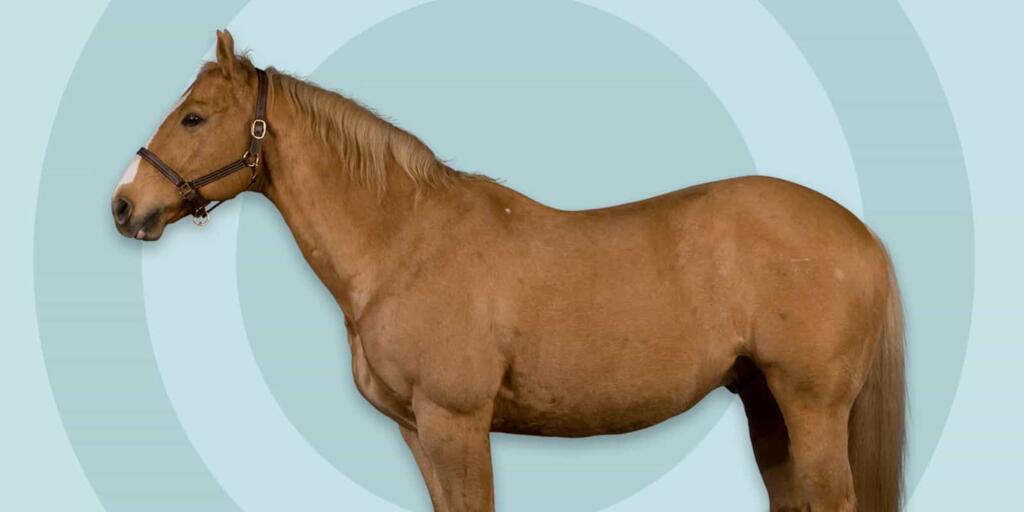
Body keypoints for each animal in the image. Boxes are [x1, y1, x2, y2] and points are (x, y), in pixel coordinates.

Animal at [111, 30, 904, 512]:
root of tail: (860, 233)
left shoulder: (456, 423)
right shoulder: (418, 432)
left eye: (193, 117)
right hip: (765, 403)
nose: (124, 205)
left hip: (812, 406)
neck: (403, 242)